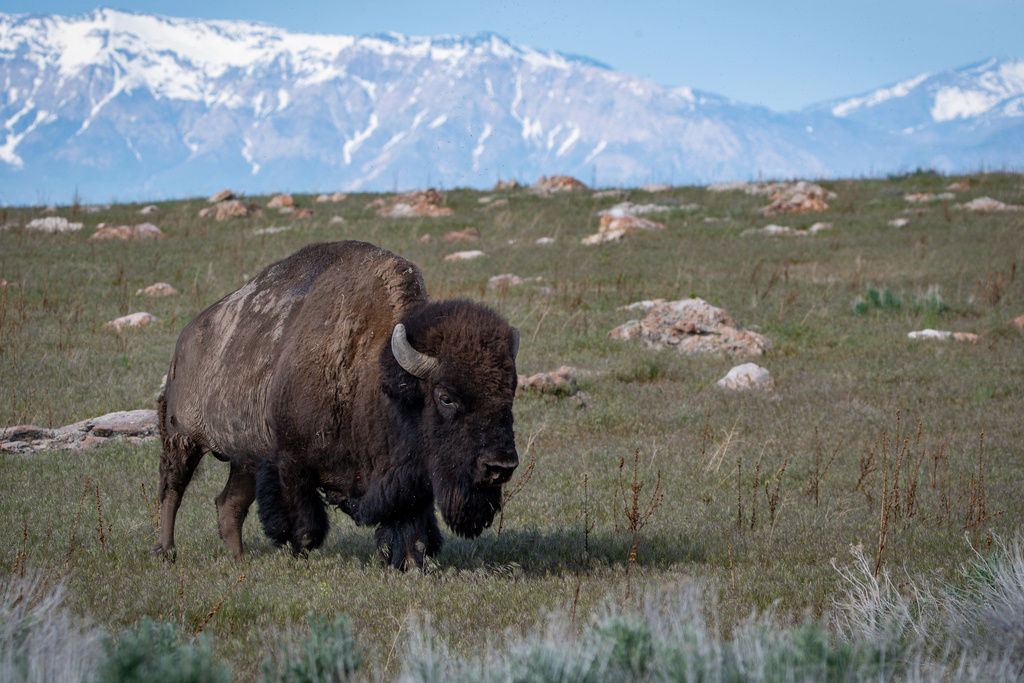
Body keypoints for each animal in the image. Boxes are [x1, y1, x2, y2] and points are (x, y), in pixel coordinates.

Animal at [152, 241, 519, 569]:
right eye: (446, 397)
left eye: (510, 392)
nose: (500, 466)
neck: (378, 376)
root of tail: (186, 338)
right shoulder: (291, 463)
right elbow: (304, 526)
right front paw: (299, 558)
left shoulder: (408, 480)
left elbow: (414, 531)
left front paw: (413, 567)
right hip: (181, 437)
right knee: (173, 488)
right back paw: (166, 552)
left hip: (244, 458)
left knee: (229, 504)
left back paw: (238, 560)